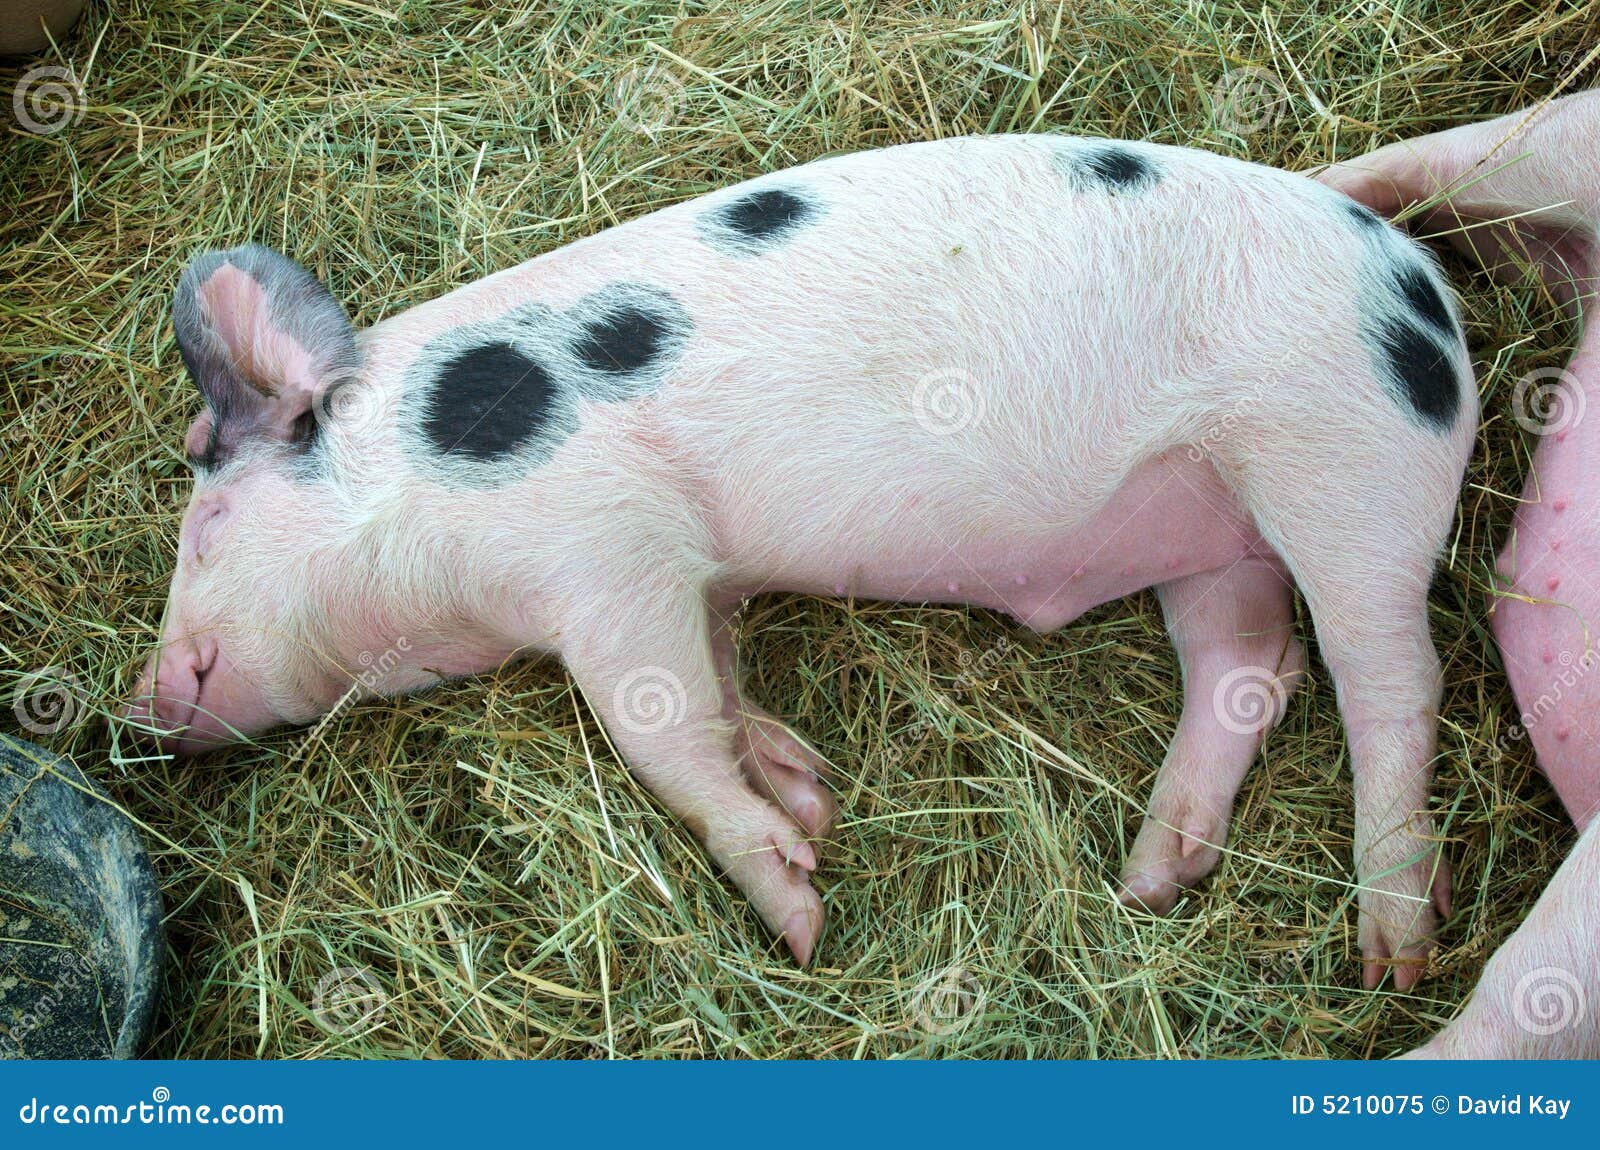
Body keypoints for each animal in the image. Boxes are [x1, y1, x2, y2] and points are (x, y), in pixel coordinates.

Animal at [124, 134, 1474, 980]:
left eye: (203, 525)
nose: (134, 711)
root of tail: (1407, 269)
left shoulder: (607, 551)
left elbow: (662, 734)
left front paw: (801, 915)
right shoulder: (696, 581)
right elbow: (723, 694)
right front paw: (810, 790)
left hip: (1341, 468)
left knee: (1392, 679)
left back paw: (1393, 949)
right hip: (1209, 525)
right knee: (1247, 665)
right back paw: (1147, 879)